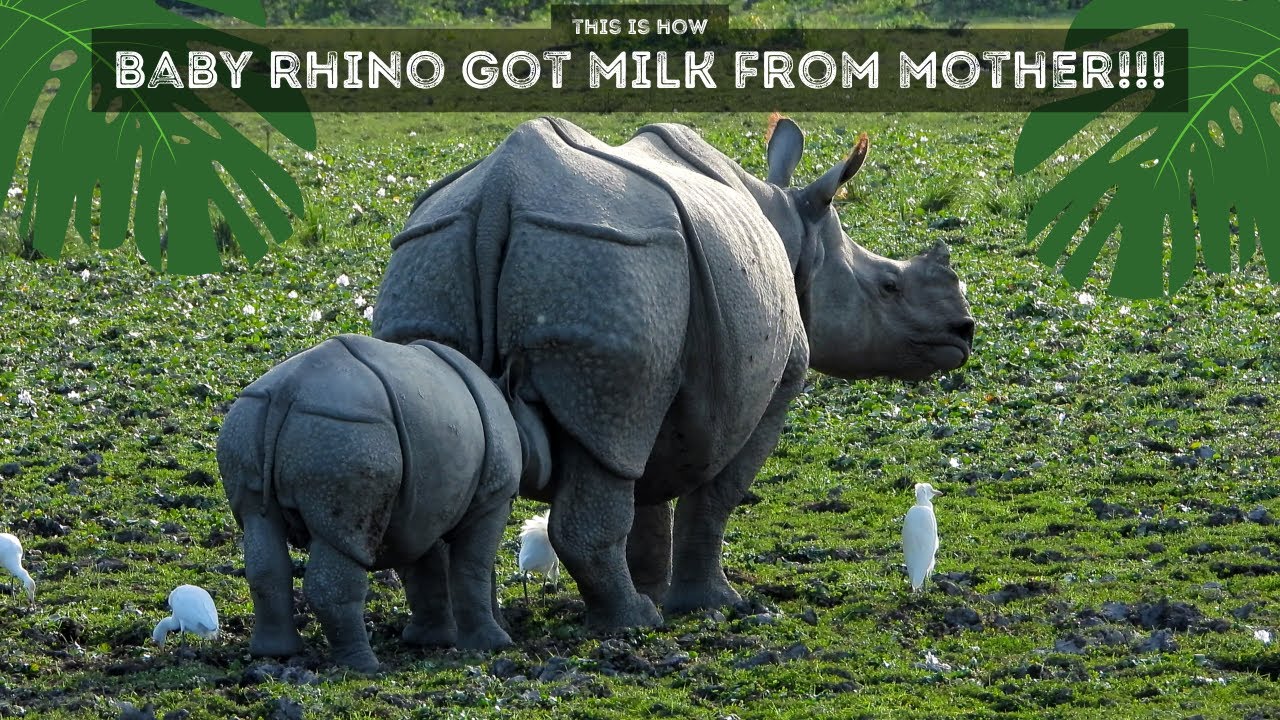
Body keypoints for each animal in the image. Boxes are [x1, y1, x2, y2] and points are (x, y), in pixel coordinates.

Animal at [217, 334, 549, 672]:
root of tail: (288, 391)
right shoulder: (493, 496)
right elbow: (472, 566)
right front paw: (494, 644)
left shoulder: (419, 502)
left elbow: (423, 567)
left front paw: (428, 640)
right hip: (348, 435)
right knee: (343, 538)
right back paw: (365, 667)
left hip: (249, 421)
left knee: (259, 527)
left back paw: (274, 653)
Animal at [373, 115, 974, 630]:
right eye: (889, 287)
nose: (962, 332)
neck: (793, 229)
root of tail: (501, 192)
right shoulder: (777, 380)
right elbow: (716, 494)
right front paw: (710, 603)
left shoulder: (671, 369)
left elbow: (650, 488)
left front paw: (657, 589)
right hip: (612, 265)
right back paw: (631, 623)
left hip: (437, 257)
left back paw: (447, 635)